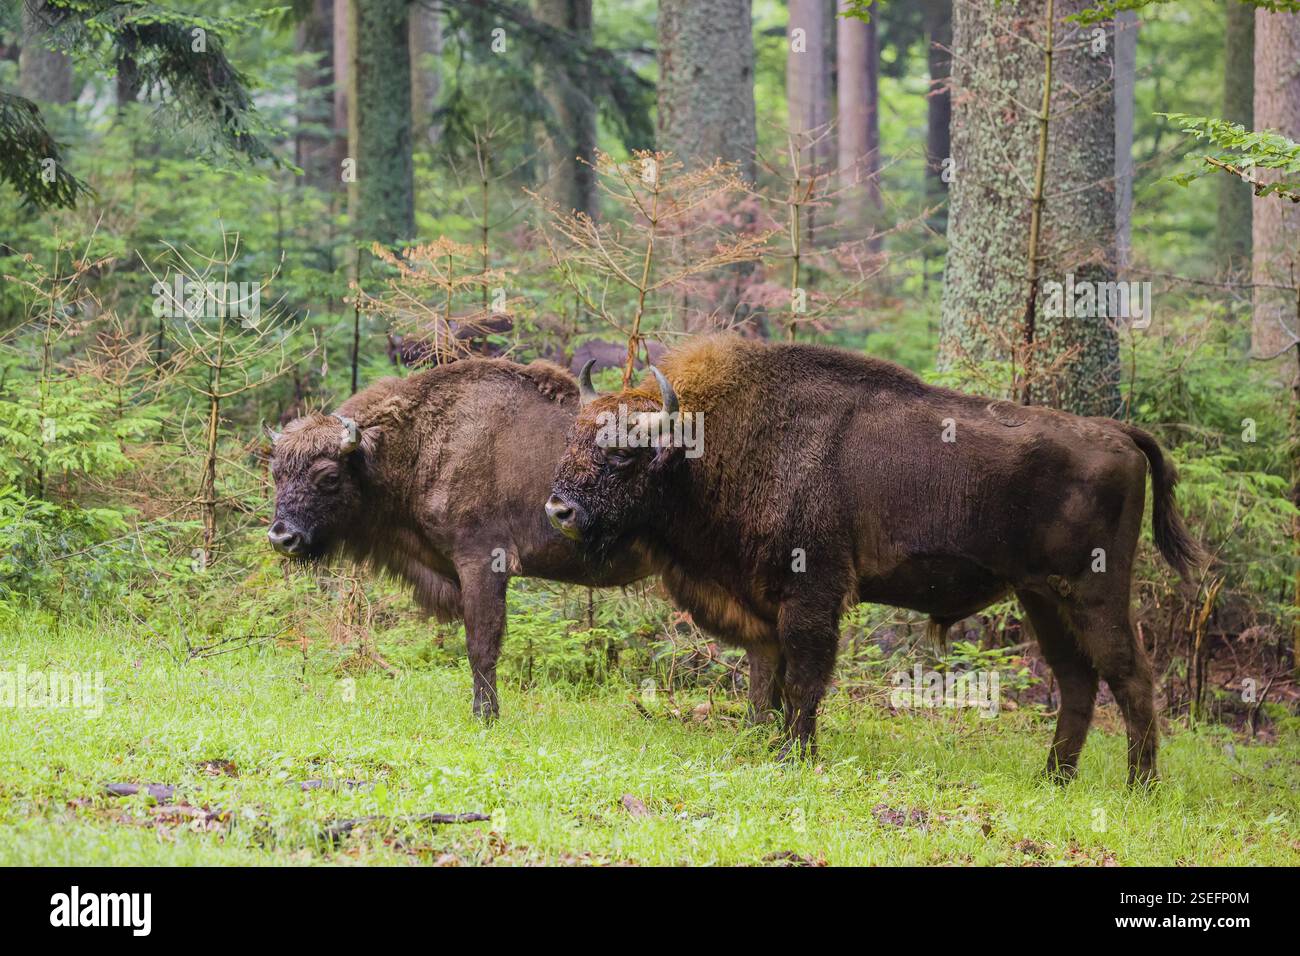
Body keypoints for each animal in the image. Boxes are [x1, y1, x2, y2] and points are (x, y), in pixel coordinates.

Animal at [268, 357, 651, 718]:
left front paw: (485, 716)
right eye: (277, 473)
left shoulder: (482, 562)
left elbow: (481, 645)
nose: (282, 538)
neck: (421, 443)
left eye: (330, 476)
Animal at [547, 336, 1202, 784]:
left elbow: (805, 679)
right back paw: (1054, 779)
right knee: (1077, 680)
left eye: (624, 455)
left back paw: (1139, 788)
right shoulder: (763, 604)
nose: (558, 510)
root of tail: (1118, 433)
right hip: (1042, 598)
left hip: (1094, 592)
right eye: (574, 439)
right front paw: (762, 745)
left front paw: (796, 755)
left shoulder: (812, 593)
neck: (700, 448)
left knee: (1130, 675)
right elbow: (766, 681)